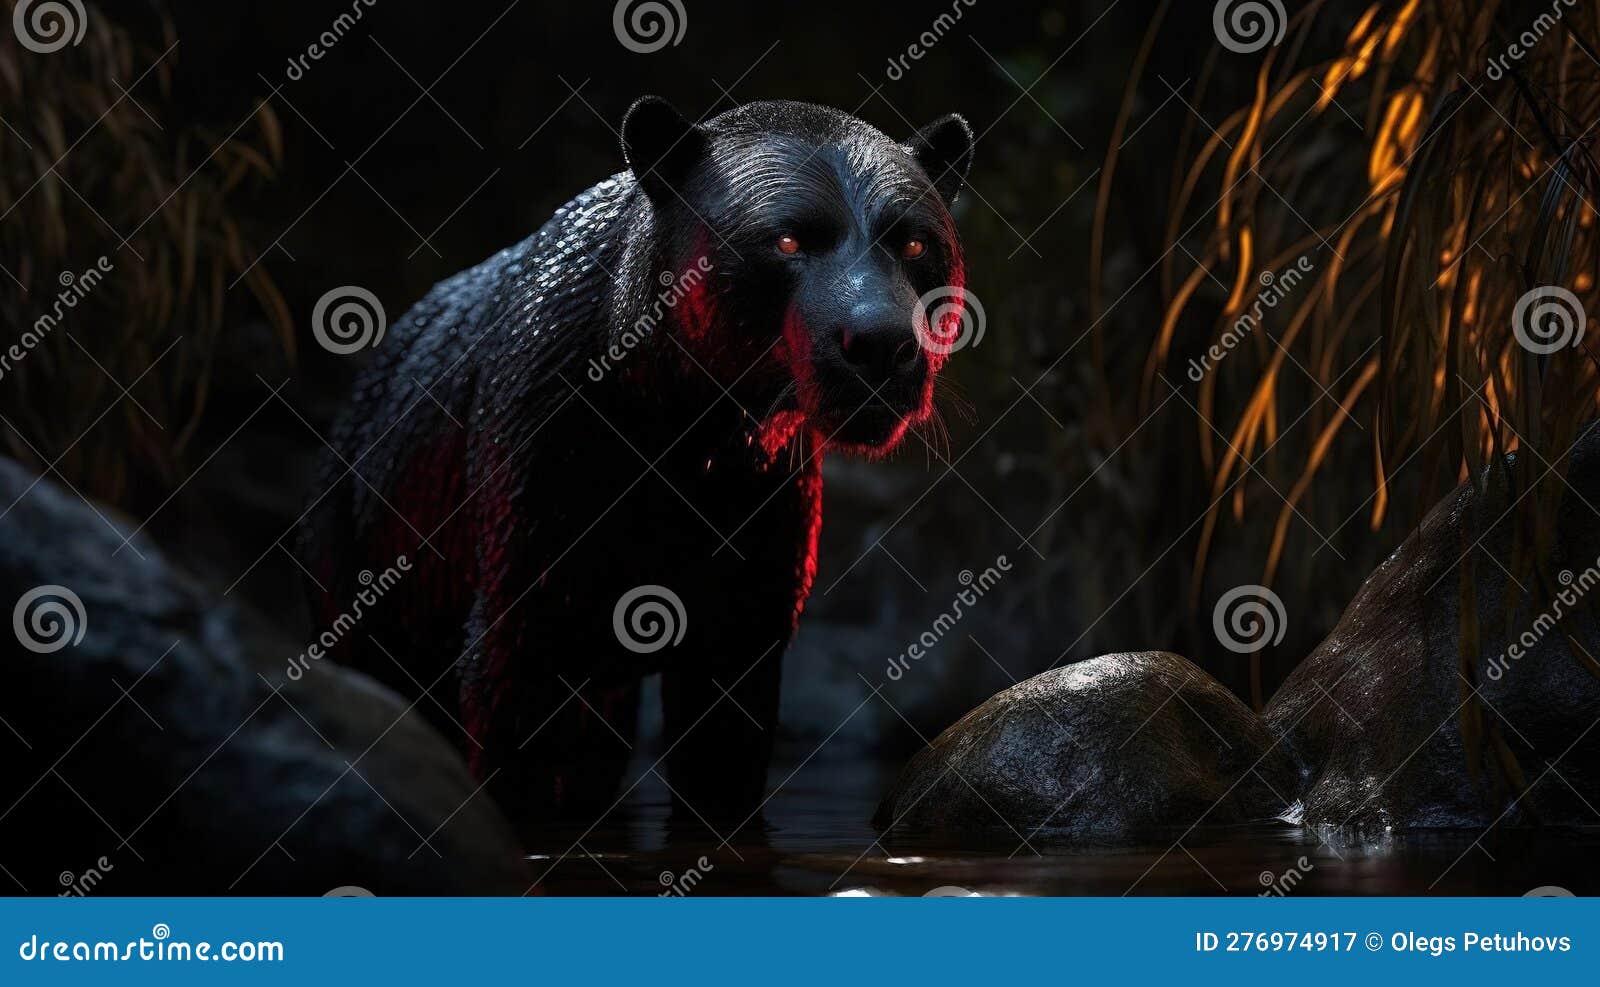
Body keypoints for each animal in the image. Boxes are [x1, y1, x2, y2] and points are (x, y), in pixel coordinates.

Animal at [299, 97, 974, 827]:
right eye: (788, 242)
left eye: (914, 244)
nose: (881, 343)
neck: (690, 442)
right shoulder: (522, 625)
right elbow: (513, 779)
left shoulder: (743, 630)